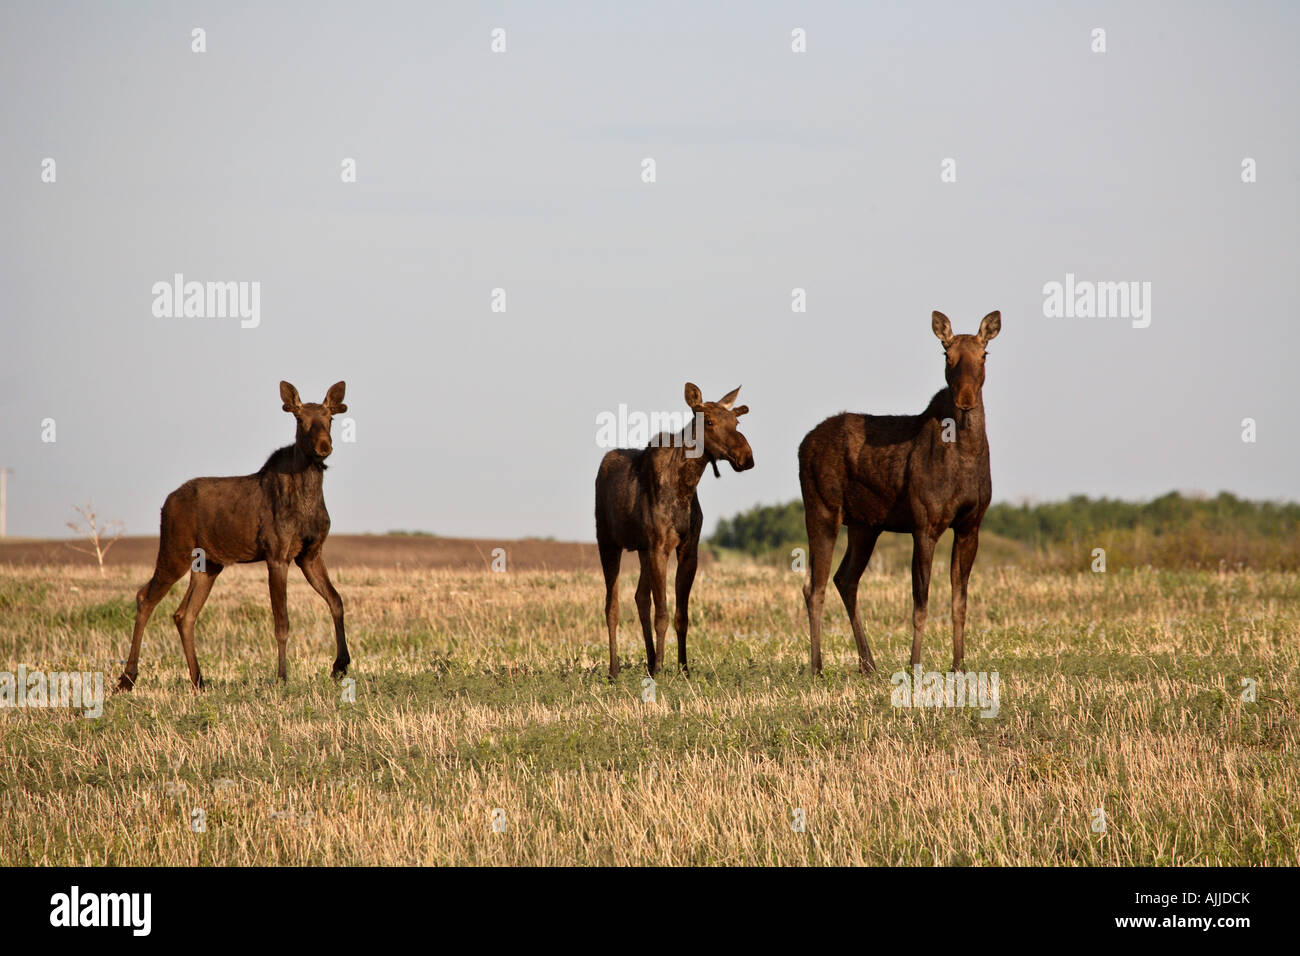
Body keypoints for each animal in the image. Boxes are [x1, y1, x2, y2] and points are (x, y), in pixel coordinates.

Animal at [117, 381, 352, 691]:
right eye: (300, 420)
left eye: (330, 419)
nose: (324, 446)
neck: (309, 495)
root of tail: (165, 503)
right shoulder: (277, 556)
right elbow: (282, 623)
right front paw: (282, 676)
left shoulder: (310, 554)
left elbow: (336, 601)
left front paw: (340, 665)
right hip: (175, 551)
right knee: (145, 598)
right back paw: (128, 677)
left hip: (208, 565)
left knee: (184, 614)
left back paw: (198, 679)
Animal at [595, 383, 755, 679]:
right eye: (709, 421)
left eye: (736, 422)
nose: (746, 456)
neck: (686, 485)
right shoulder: (660, 547)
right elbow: (663, 614)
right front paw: (661, 668)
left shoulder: (687, 549)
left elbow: (682, 615)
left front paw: (683, 668)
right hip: (608, 541)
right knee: (612, 604)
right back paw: (615, 670)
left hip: (642, 549)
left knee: (640, 597)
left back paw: (648, 661)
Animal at [798, 310, 1001, 676]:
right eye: (947, 354)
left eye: (984, 354)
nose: (965, 400)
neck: (967, 453)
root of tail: (801, 446)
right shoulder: (925, 524)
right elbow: (920, 602)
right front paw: (915, 664)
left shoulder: (970, 525)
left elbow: (959, 601)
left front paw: (959, 665)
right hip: (822, 510)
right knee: (813, 586)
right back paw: (817, 667)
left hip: (865, 525)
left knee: (845, 579)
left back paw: (868, 663)